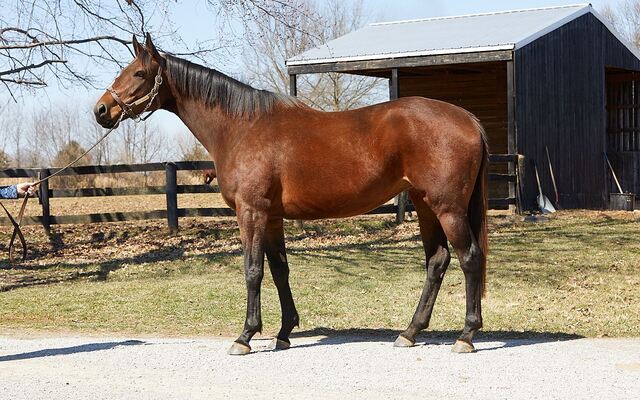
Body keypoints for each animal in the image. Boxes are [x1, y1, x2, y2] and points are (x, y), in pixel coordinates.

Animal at [95, 34, 489, 356]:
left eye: (138, 74)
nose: (101, 110)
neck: (241, 127)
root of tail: (468, 119)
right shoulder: (271, 217)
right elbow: (279, 270)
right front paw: (284, 332)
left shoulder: (251, 212)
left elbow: (253, 270)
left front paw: (245, 336)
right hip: (425, 206)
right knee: (437, 261)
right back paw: (410, 332)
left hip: (447, 208)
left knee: (469, 258)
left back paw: (466, 336)